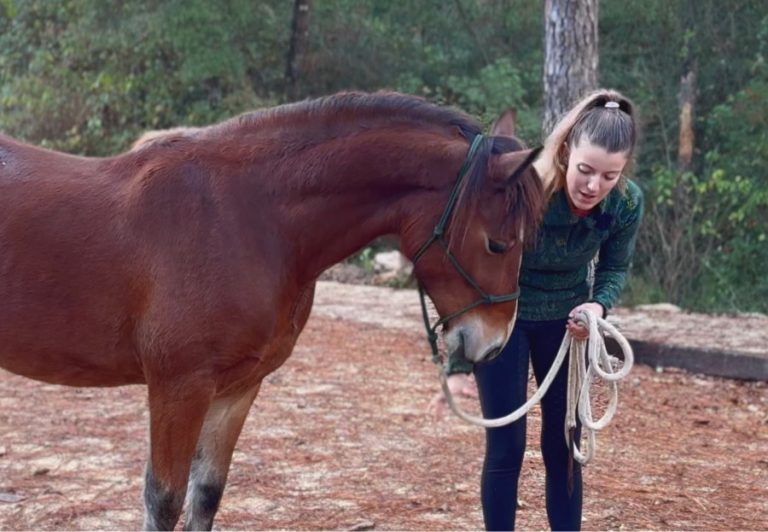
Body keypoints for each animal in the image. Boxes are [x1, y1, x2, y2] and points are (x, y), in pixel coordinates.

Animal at [0, 91, 544, 530]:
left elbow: (205, 496)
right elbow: (165, 501)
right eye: (498, 244)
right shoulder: (179, 387)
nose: (493, 343)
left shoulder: (237, 389)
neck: (247, 217)